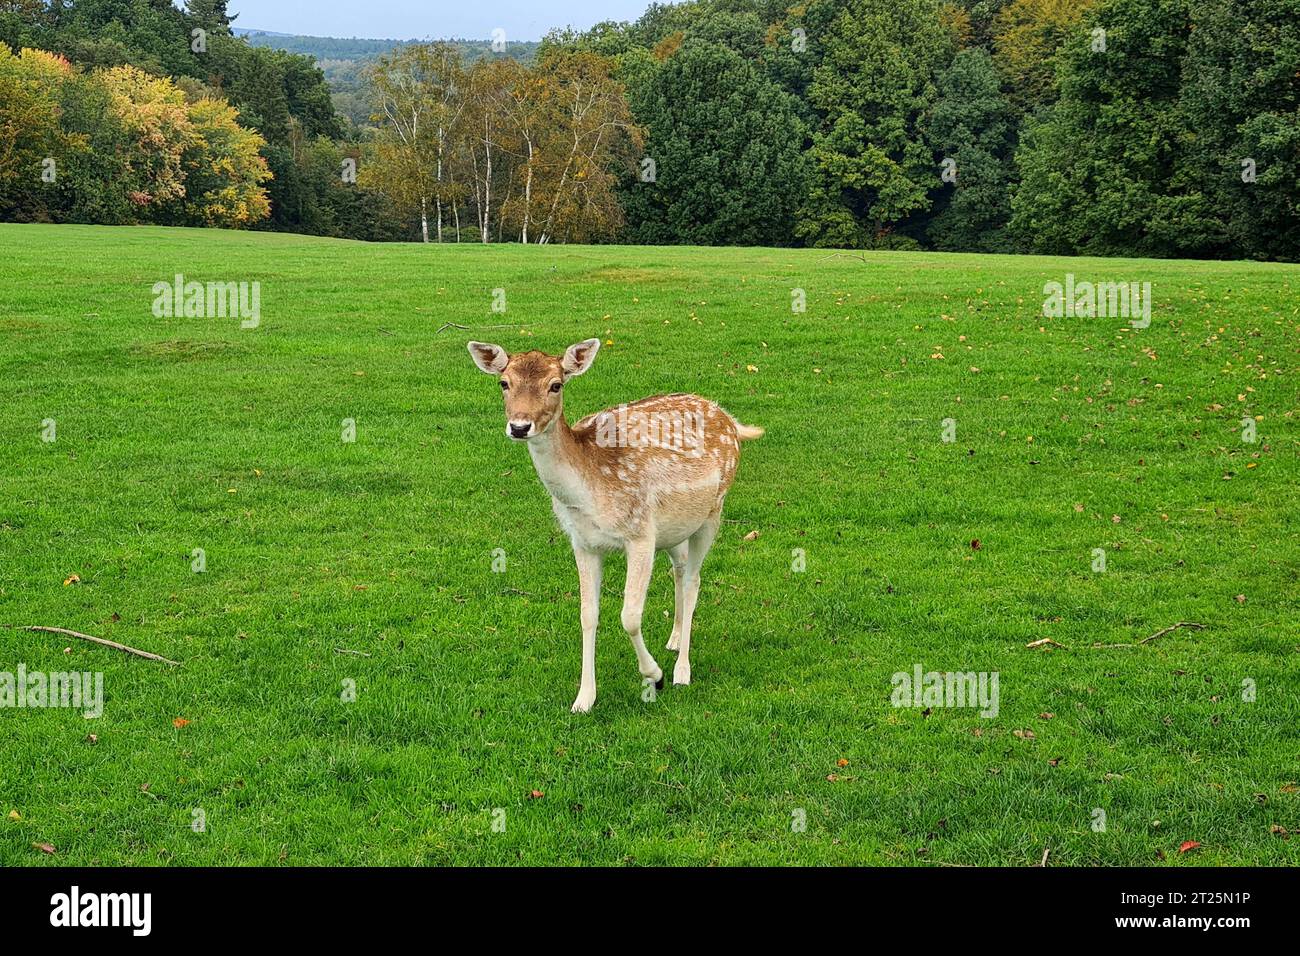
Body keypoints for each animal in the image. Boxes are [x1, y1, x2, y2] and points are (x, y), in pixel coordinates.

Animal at [467, 338, 763, 713]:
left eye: (556, 385)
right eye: (503, 383)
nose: (519, 426)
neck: (589, 494)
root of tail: (730, 419)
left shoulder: (640, 534)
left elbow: (630, 615)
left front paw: (655, 676)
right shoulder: (582, 542)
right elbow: (587, 615)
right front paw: (584, 699)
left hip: (713, 510)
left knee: (694, 579)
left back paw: (682, 669)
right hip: (674, 528)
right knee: (680, 569)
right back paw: (673, 639)